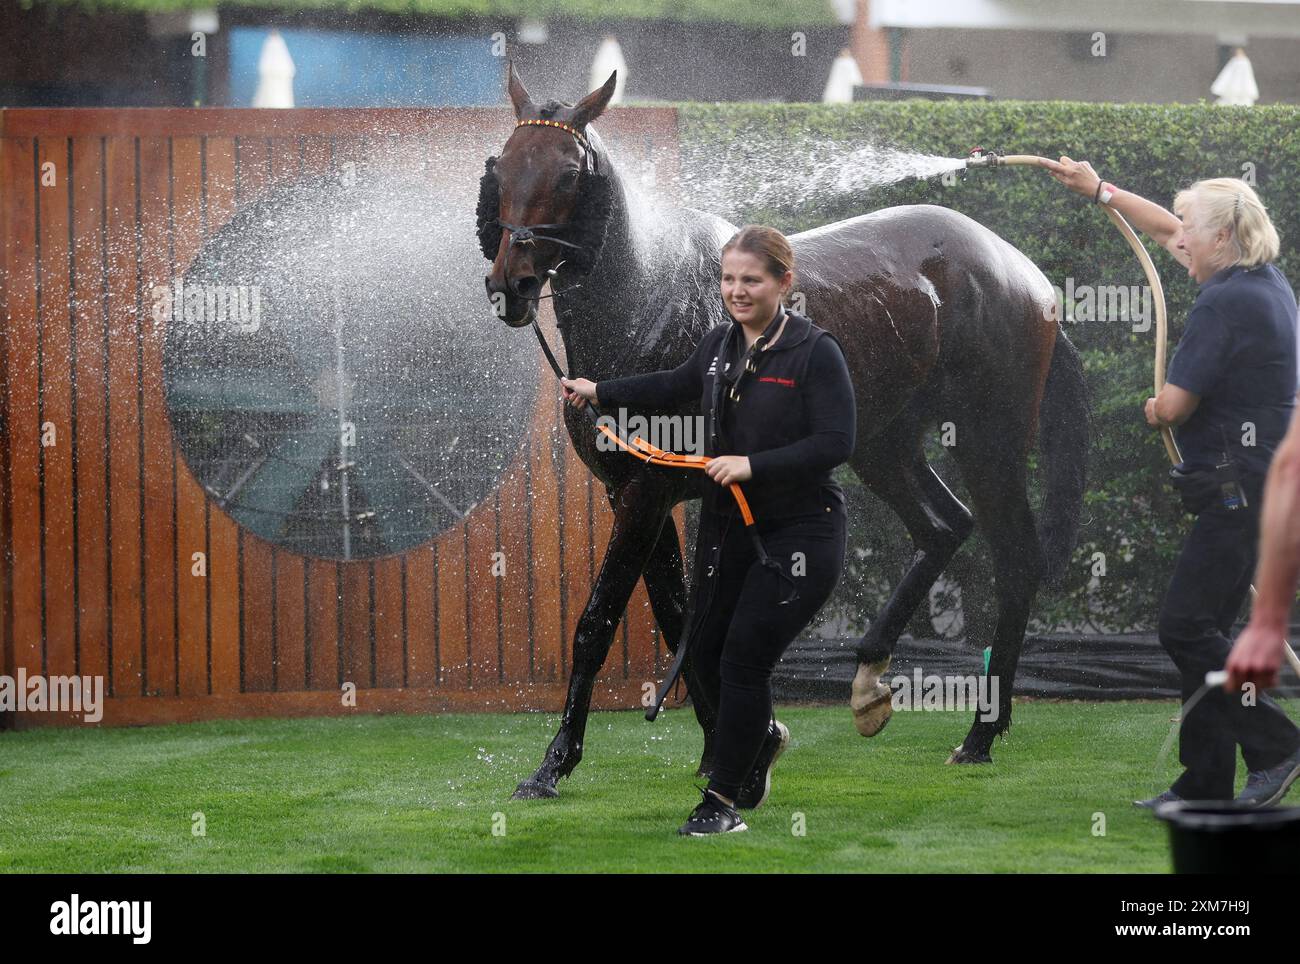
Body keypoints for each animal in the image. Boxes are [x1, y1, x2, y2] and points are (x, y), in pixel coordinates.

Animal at [479, 64, 1088, 798]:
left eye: (569, 173)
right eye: (503, 164)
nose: (510, 284)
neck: (649, 303)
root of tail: (1025, 274)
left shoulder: (646, 498)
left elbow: (598, 623)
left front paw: (554, 762)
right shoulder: (635, 492)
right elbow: (680, 620)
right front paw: (729, 745)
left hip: (987, 438)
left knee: (1015, 557)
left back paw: (980, 734)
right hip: (882, 443)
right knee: (944, 526)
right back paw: (869, 680)